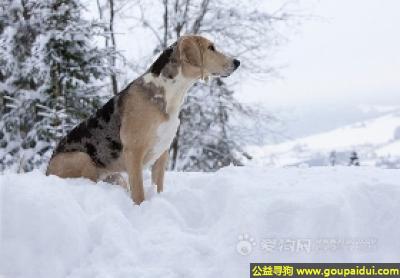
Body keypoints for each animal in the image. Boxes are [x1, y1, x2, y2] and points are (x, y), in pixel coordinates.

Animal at [47, 34, 241, 204]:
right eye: (211, 48)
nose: (237, 62)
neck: (168, 93)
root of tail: (47, 170)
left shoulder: (162, 153)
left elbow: (158, 186)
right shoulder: (134, 152)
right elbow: (139, 193)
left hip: (116, 177)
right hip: (83, 159)